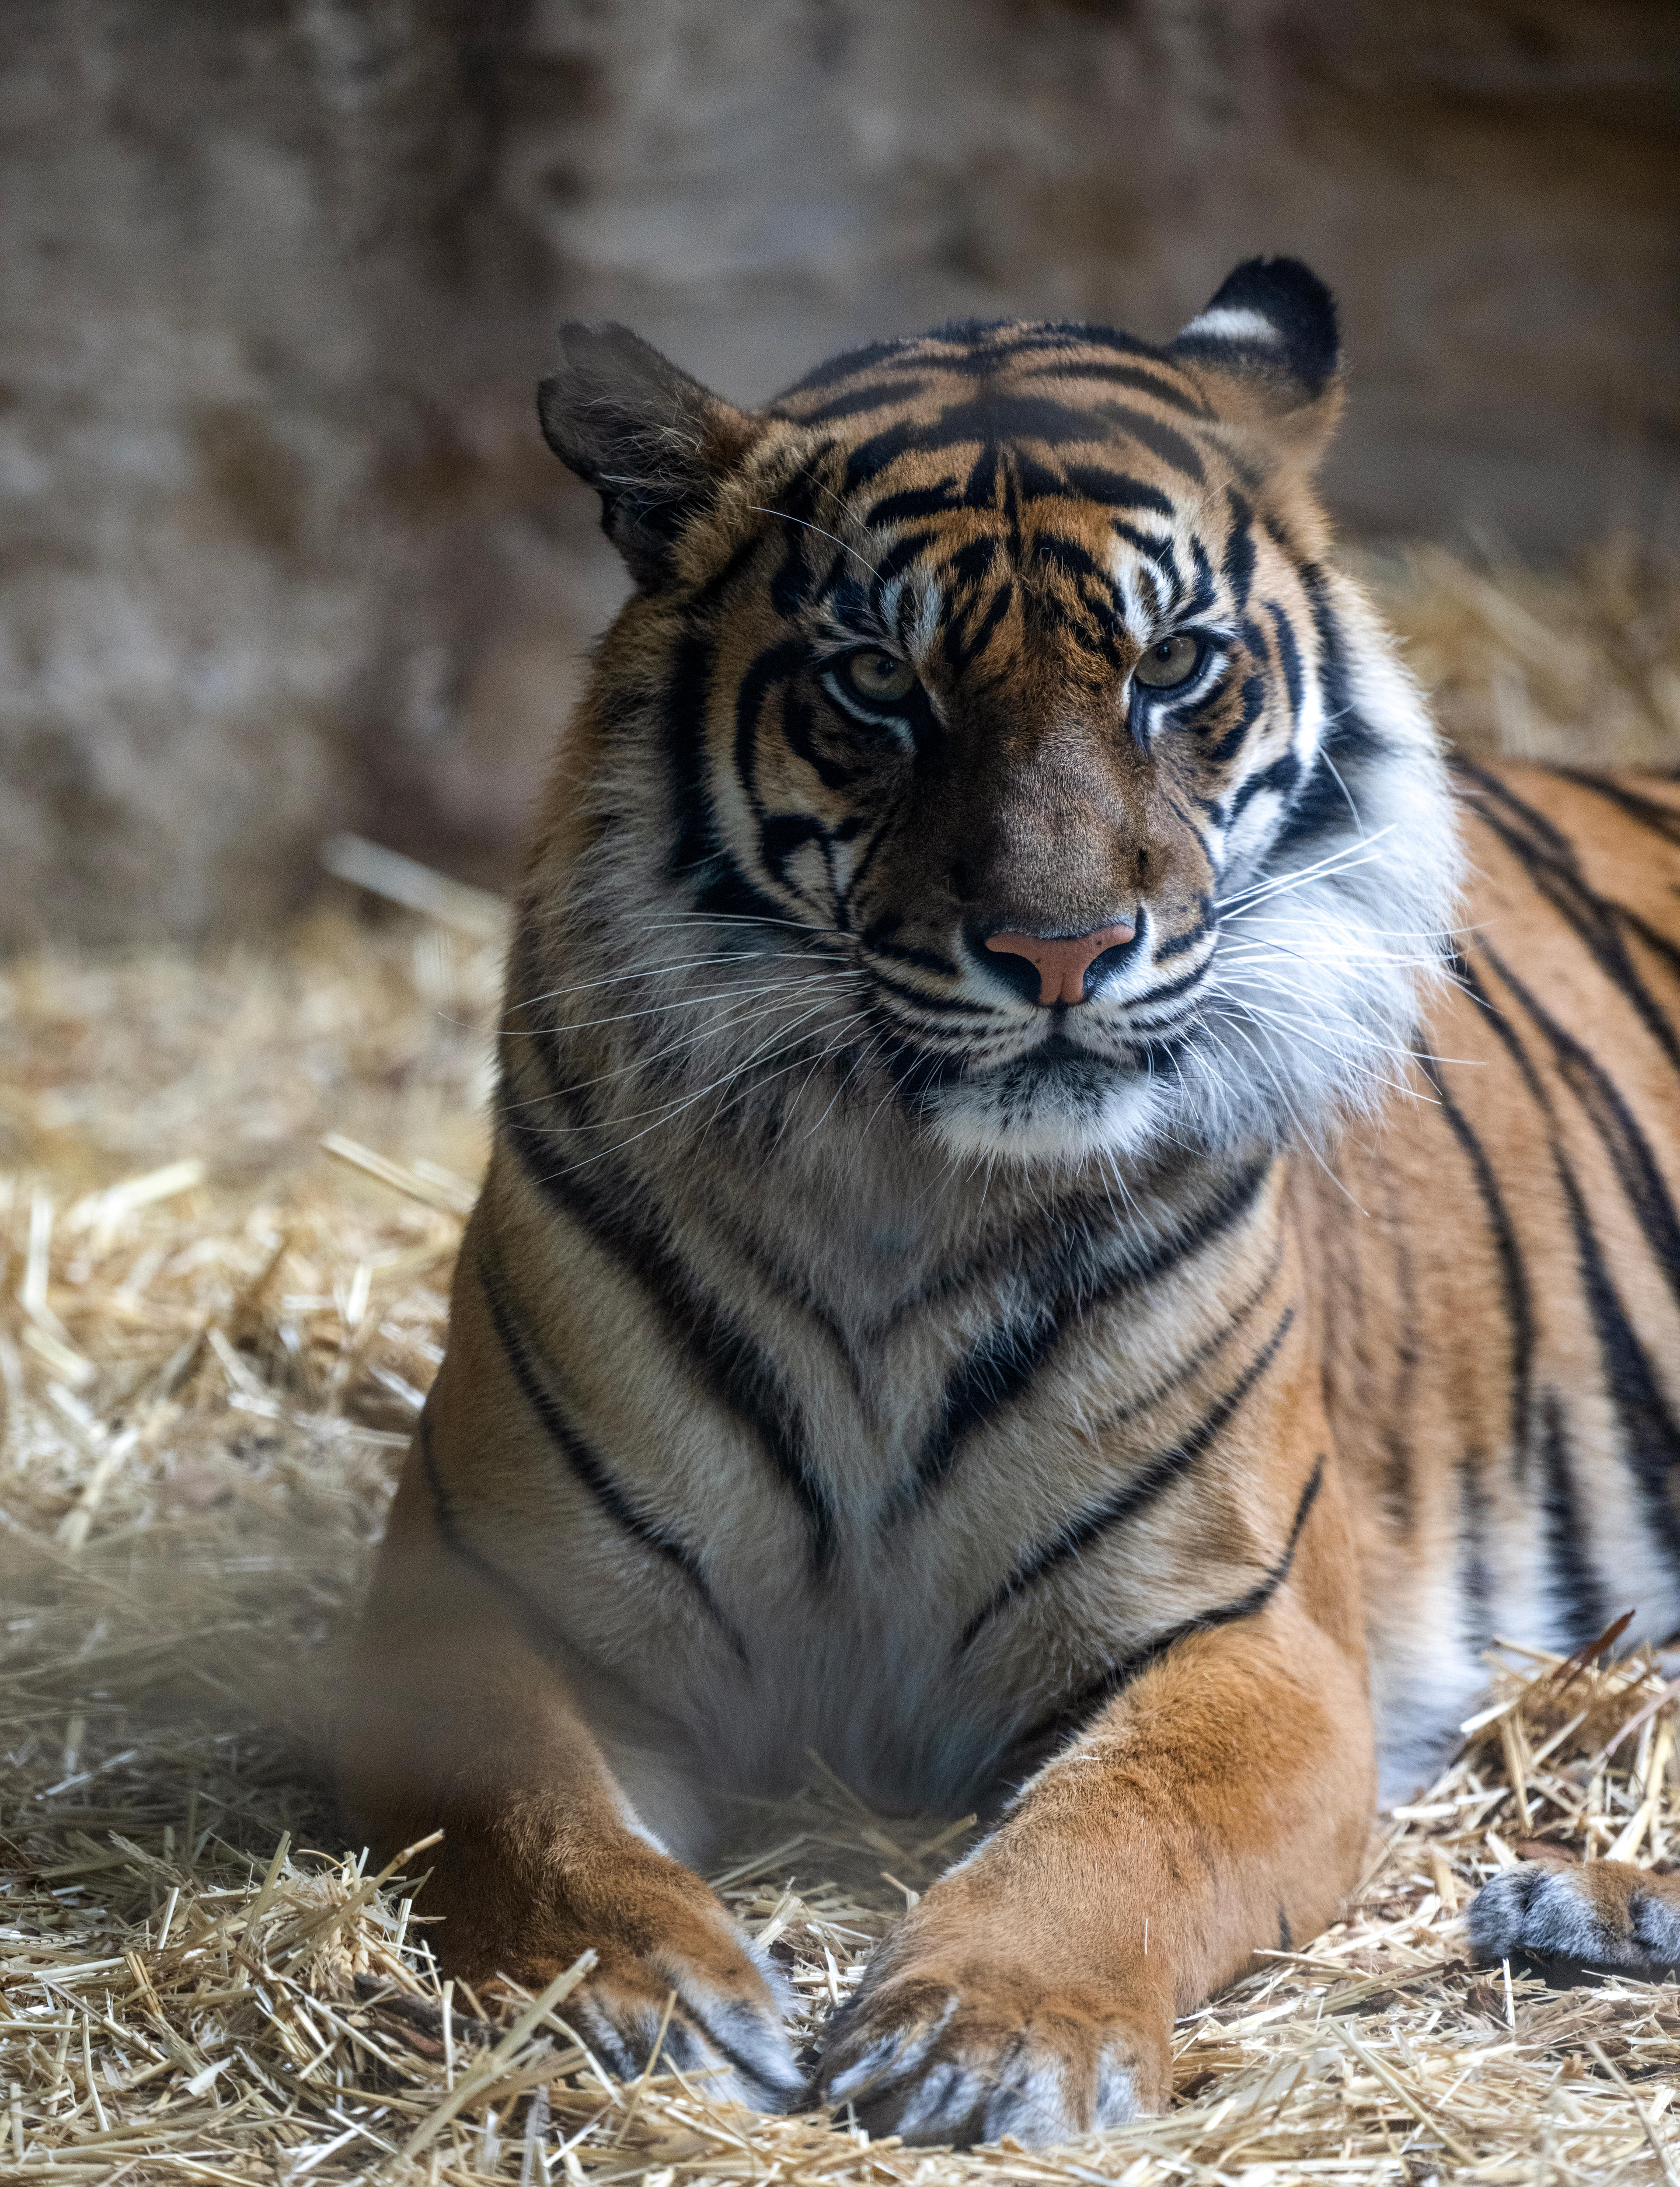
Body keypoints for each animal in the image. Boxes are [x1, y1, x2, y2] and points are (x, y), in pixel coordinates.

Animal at [340, 256, 1680, 2149]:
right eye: (875, 682)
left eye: (1172, 666)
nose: (1060, 950)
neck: (897, 1196)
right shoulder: (472, 1603)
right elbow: (528, 1814)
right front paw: (637, 2010)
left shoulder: (1244, 1634)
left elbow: (1122, 1822)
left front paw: (983, 2028)